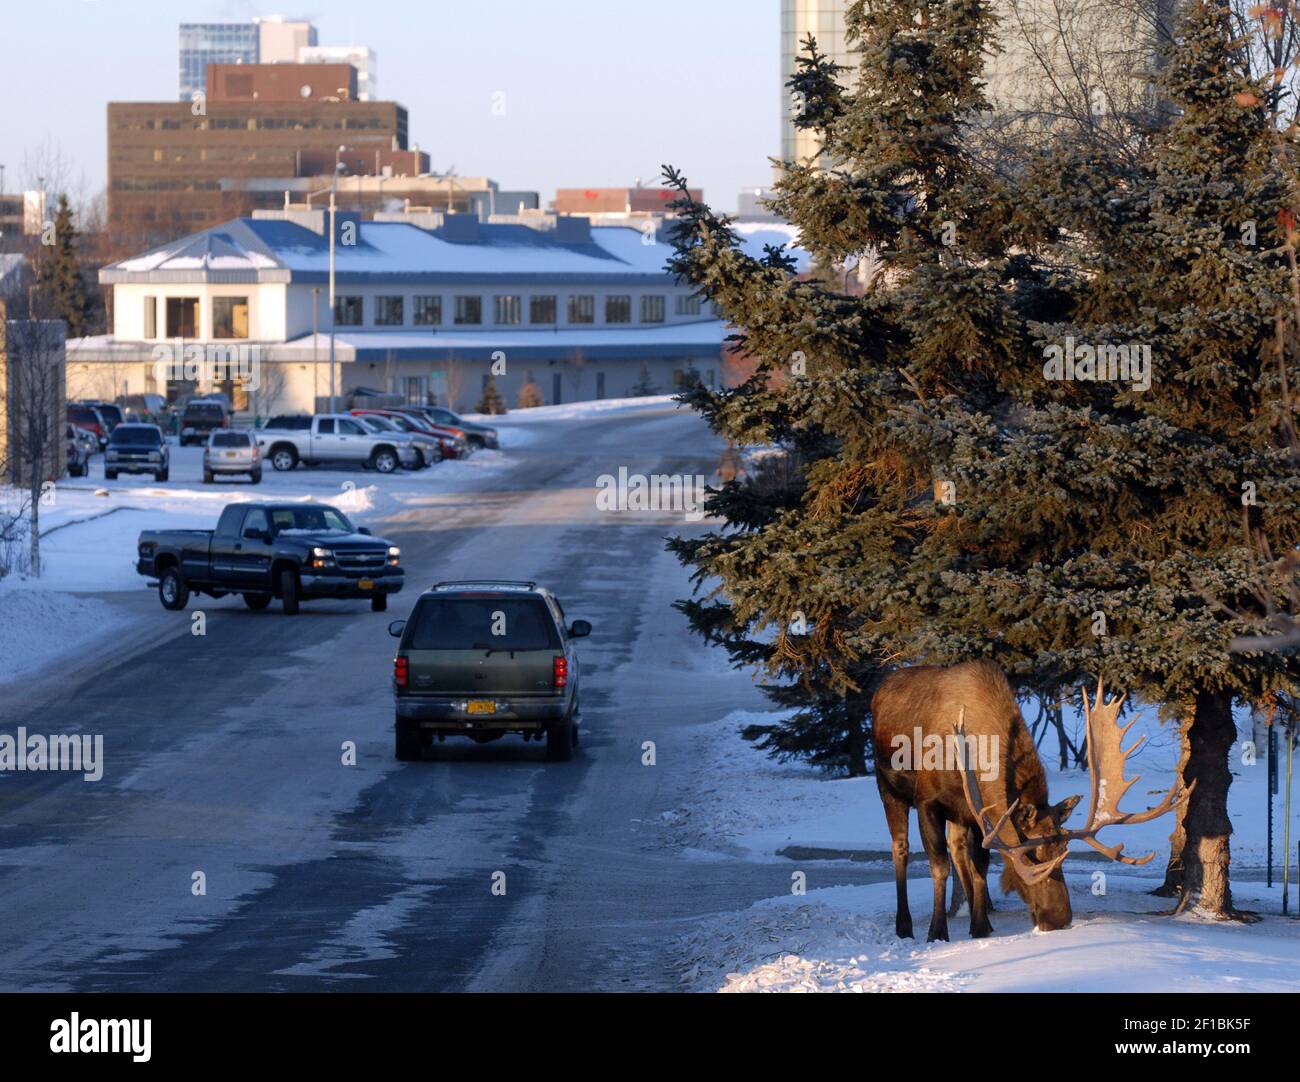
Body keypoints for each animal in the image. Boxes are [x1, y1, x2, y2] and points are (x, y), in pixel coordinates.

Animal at [871, 661, 1191, 941]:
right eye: (1031, 858)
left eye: (1063, 852)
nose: (1060, 919)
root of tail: (881, 688)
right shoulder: (928, 801)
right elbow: (939, 867)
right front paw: (937, 933)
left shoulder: (977, 813)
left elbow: (980, 866)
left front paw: (981, 926)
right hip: (887, 787)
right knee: (900, 848)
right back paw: (904, 926)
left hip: (957, 815)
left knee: (958, 849)